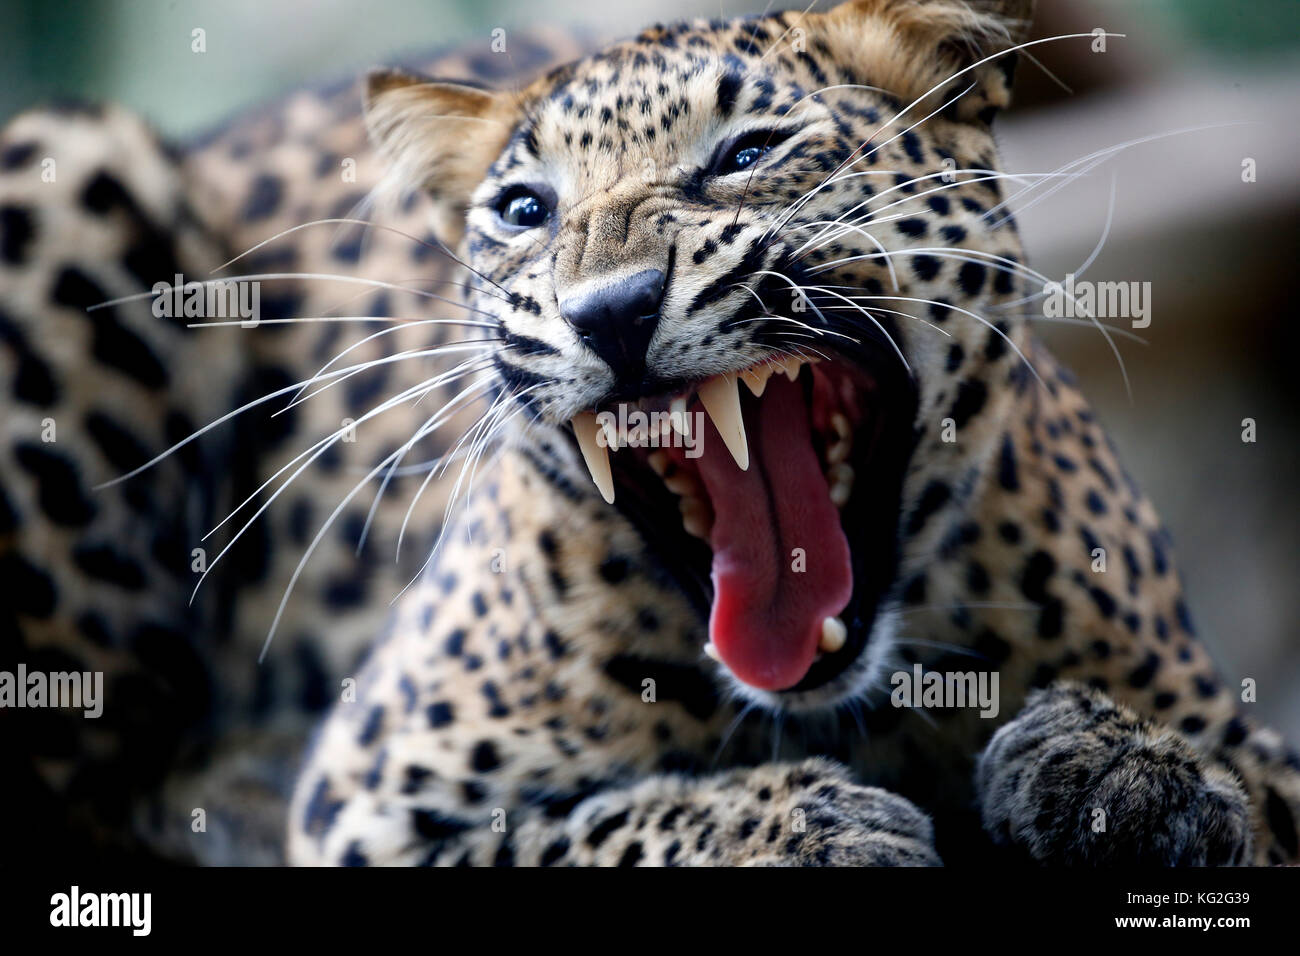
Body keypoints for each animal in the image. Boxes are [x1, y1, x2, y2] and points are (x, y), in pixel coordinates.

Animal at [1, 0, 1297, 867]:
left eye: (746, 155)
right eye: (525, 210)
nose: (612, 310)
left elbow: (1240, 773)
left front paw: (1126, 767)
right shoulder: (370, 801)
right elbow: (584, 827)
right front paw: (801, 822)